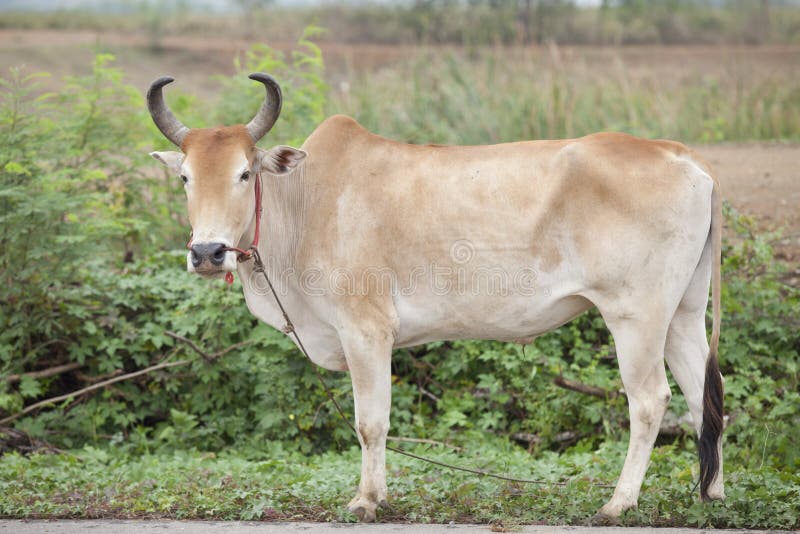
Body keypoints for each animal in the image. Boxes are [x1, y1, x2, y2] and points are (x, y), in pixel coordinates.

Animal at [147, 73, 724, 523]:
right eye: (185, 176)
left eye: (245, 173)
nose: (207, 252)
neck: (307, 204)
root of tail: (682, 156)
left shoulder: (367, 330)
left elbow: (370, 422)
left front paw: (366, 501)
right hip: (682, 313)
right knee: (704, 396)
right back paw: (711, 496)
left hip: (636, 315)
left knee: (650, 400)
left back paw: (618, 504)